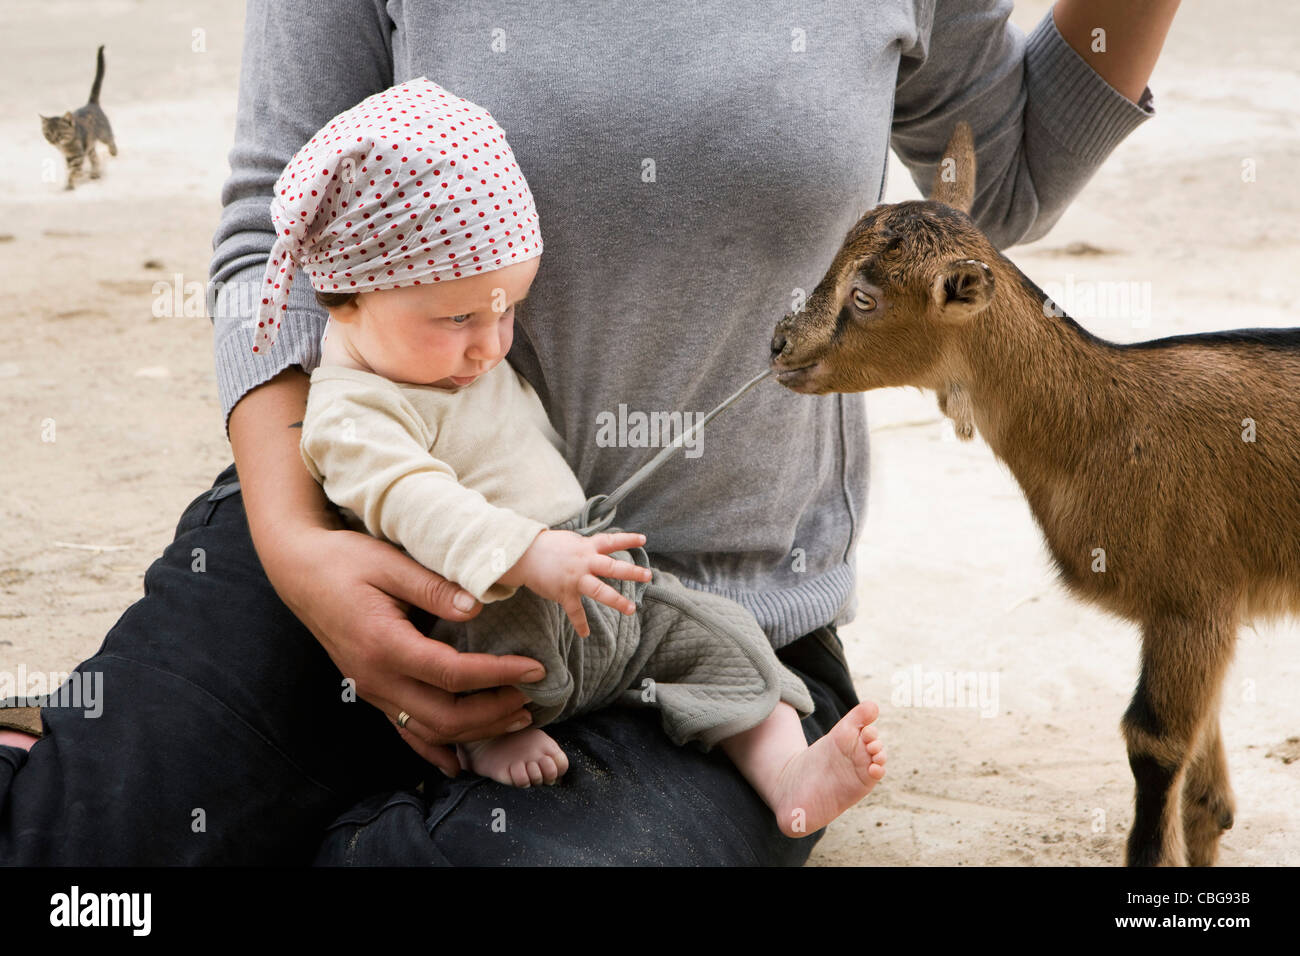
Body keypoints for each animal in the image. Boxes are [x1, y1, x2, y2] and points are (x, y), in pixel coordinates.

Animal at [769, 122, 1300, 866]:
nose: (779, 344)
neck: (1110, 423)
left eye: (866, 297)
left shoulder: (1192, 599)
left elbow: (1155, 740)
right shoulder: (1204, 619)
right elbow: (1206, 786)